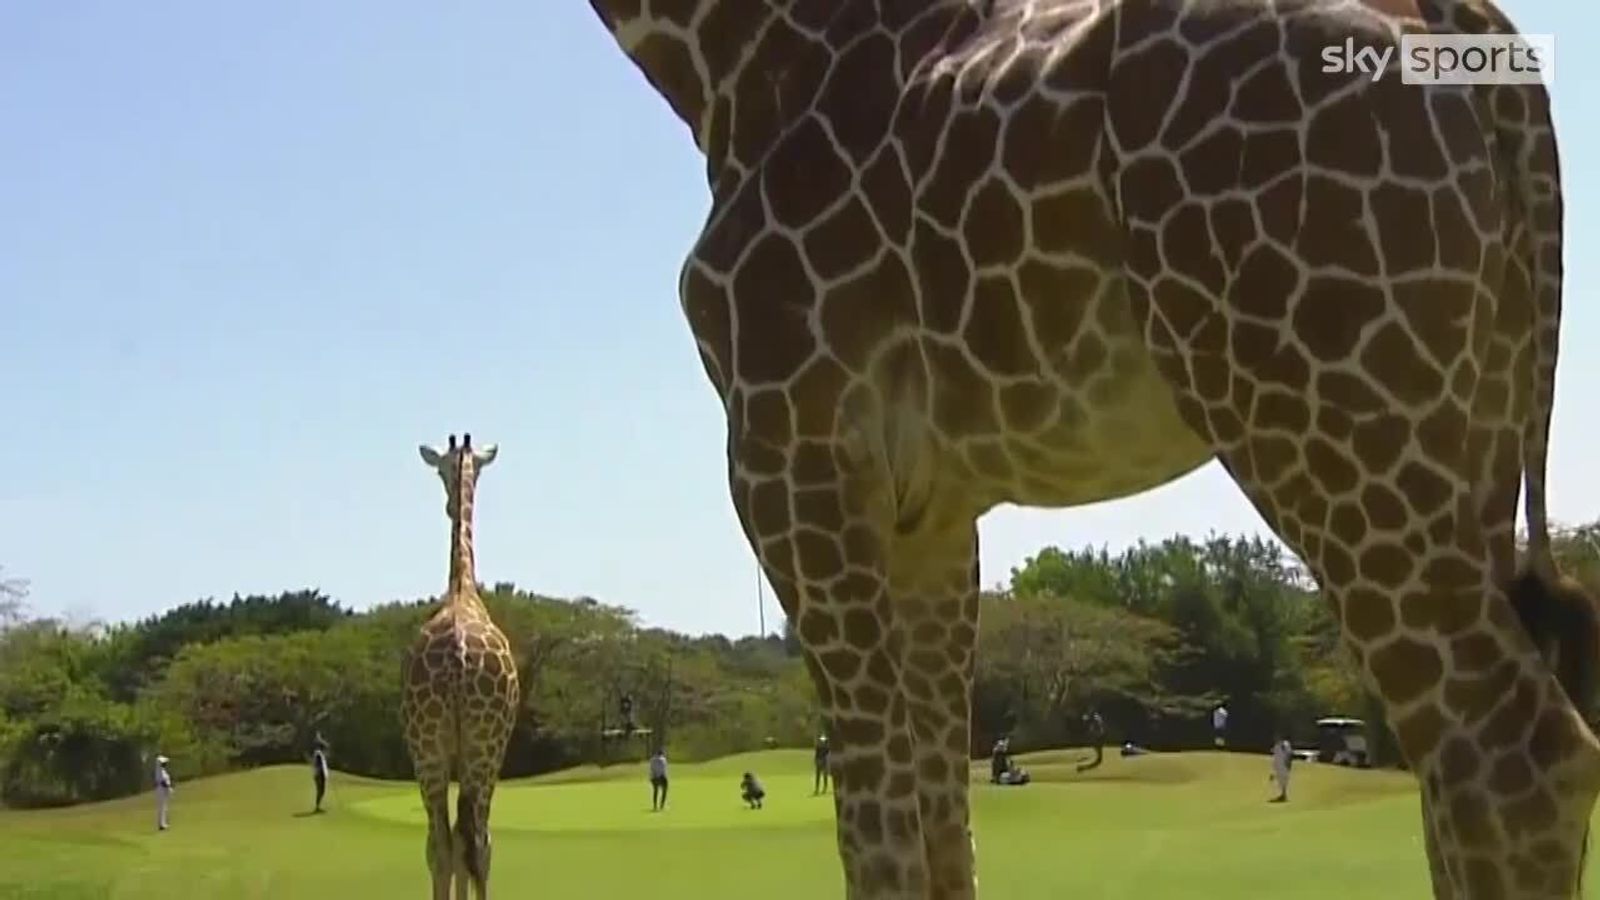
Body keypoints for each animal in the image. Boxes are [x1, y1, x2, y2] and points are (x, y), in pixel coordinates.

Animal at [401, 433, 521, 900]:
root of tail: (457, 655)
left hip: (428, 753)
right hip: (483, 753)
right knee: (477, 843)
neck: (461, 588)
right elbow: (473, 844)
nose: (451, 505)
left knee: (443, 842)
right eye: (440, 470)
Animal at [581, 0, 1598, 897]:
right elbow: (943, 821)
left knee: (1516, 758)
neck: (737, 66)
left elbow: (876, 833)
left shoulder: (790, 445)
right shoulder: (931, 514)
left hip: (1316, 405)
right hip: (1469, 426)